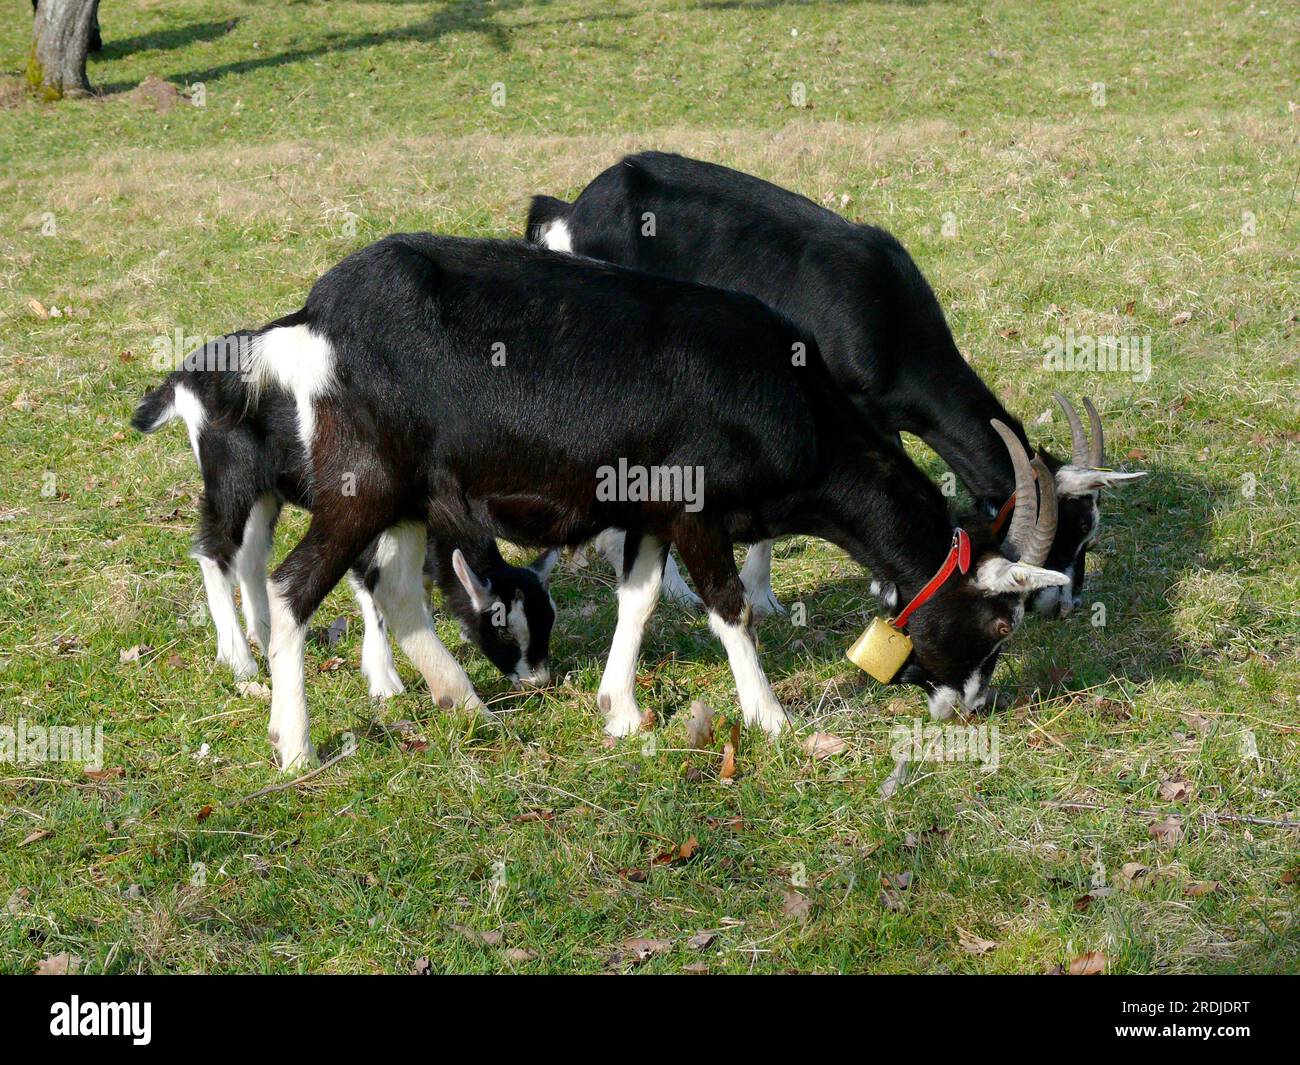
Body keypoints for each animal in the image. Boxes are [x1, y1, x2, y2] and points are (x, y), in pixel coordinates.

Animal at [131, 339, 557, 695]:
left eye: (548, 621)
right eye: (504, 632)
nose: (539, 682)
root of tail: (187, 372)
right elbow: (372, 588)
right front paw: (385, 682)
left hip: (267, 490)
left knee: (250, 555)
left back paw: (265, 636)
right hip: (231, 472)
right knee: (214, 549)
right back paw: (239, 661)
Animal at [239, 233, 1067, 769]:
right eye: (1001, 619)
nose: (971, 704)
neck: (797, 401)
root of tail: (315, 318)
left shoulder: (649, 513)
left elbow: (636, 600)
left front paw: (621, 711)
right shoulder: (695, 508)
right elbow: (729, 607)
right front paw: (770, 718)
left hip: (412, 494)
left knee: (400, 593)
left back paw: (463, 702)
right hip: (364, 482)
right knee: (291, 587)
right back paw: (294, 744)